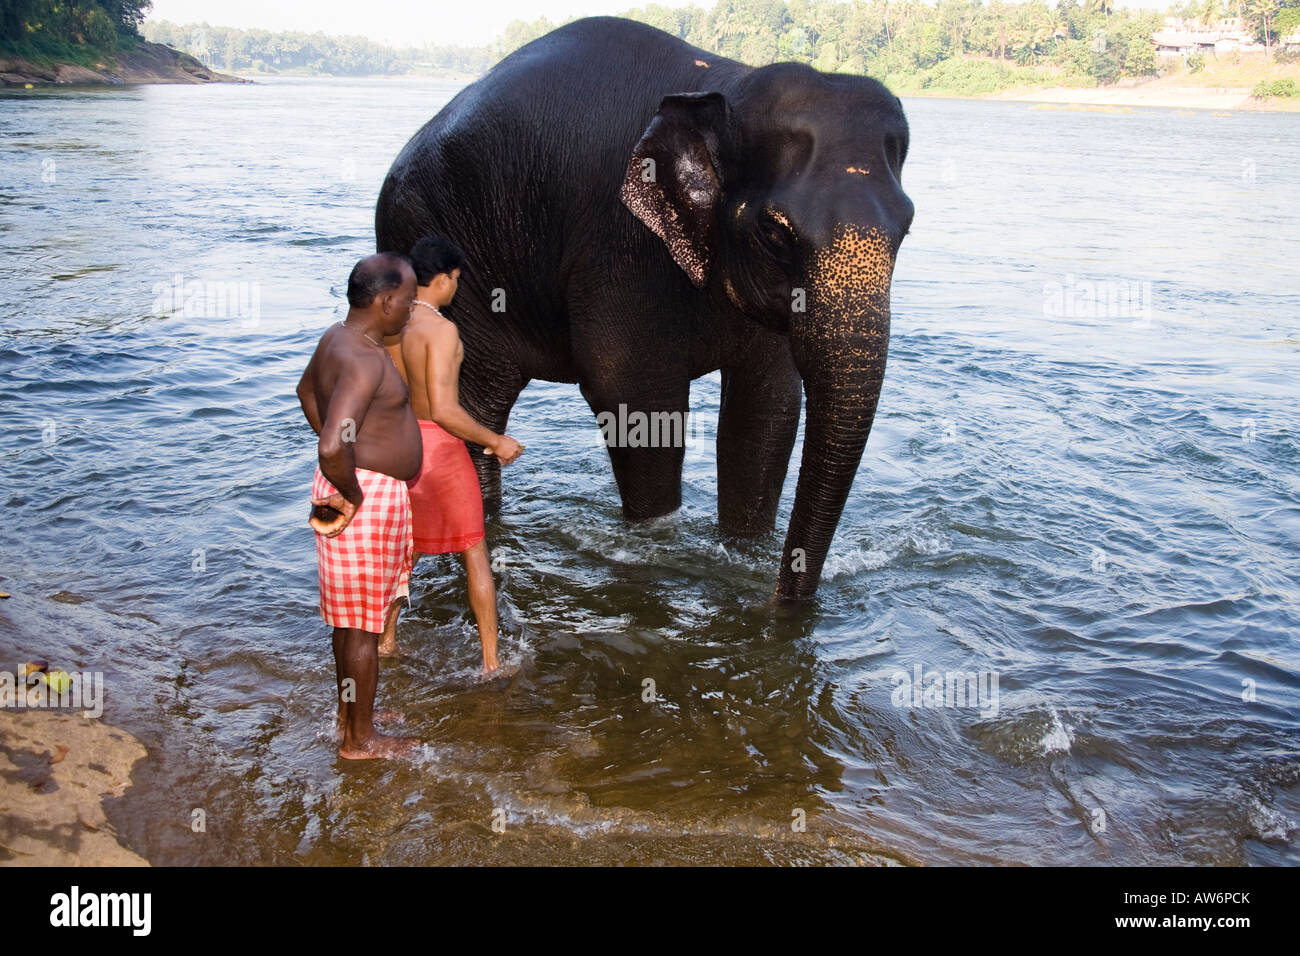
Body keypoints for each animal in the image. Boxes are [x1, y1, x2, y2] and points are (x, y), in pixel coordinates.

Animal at [375, 16, 913, 602]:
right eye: (774, 234)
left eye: (907, 227)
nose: (781, 599)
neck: (726, 86)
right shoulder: (621, 243)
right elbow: (637, 396)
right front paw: (659, 551)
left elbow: (768, 404)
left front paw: (746, 550)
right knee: (475, 401)